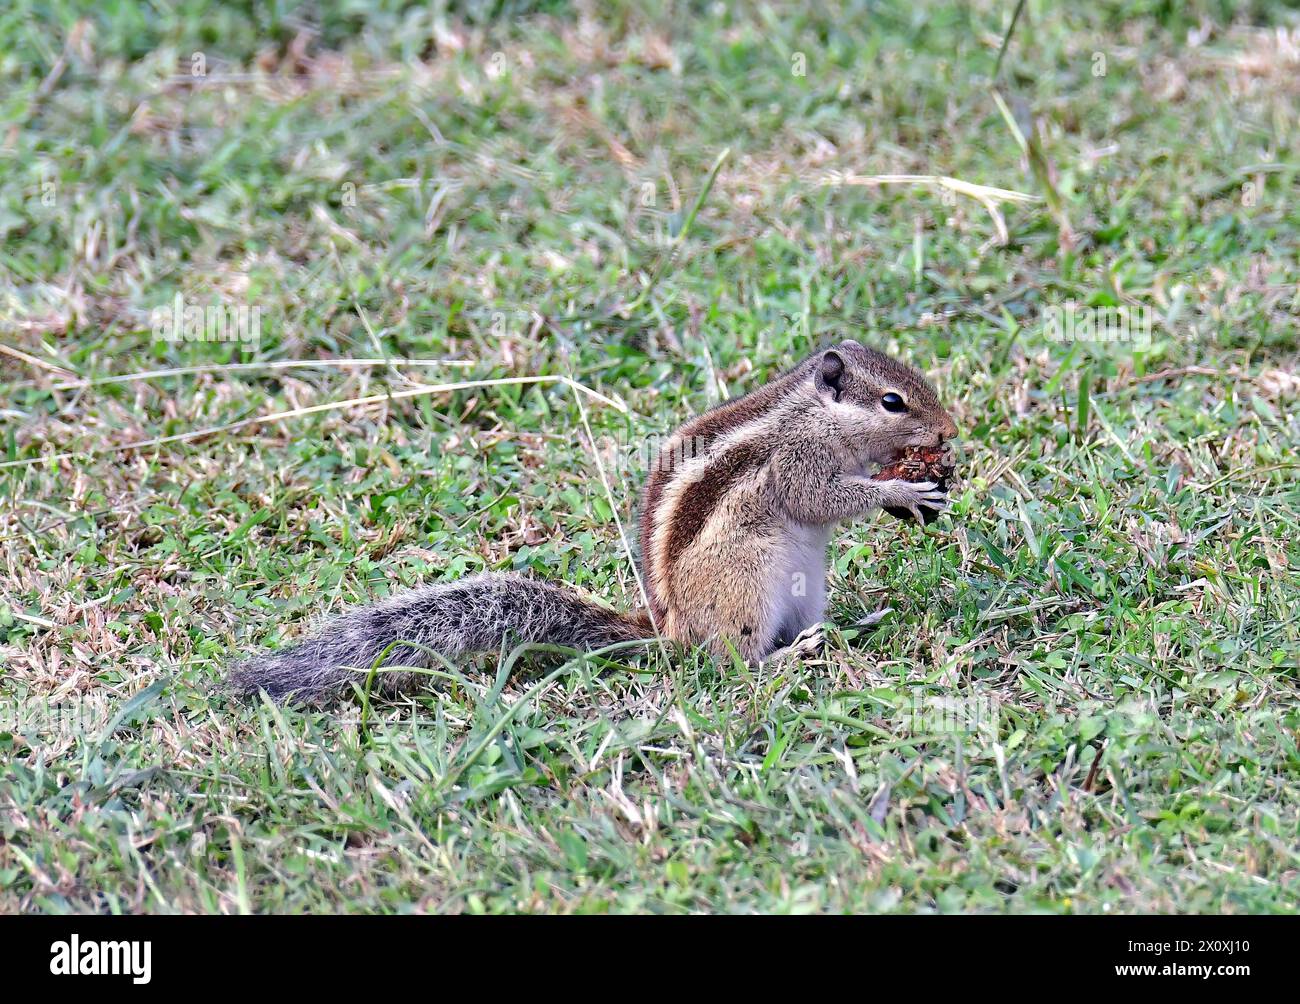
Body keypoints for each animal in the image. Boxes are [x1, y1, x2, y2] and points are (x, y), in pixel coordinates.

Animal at [228, 340, 958, 703]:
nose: (951, 430)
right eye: (893, 401)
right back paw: (782, 660)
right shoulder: (795, 464)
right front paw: (903, 491)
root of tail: (669, 632)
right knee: (728, 662)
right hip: (749, 581)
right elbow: (821, 499)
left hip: (807, 581)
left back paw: (845, 629)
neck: (817, 414)